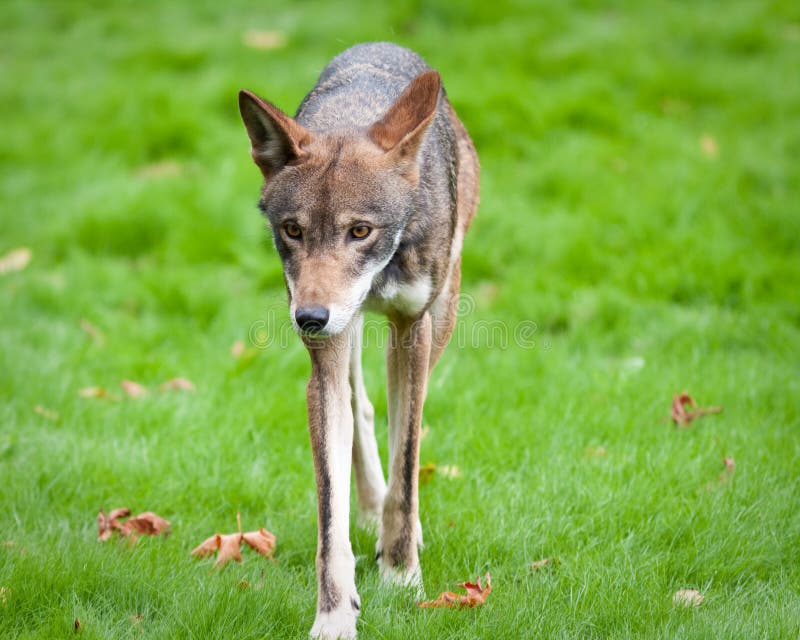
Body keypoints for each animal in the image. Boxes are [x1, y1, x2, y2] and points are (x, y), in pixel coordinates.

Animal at [239, 42, 479, 639]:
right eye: (293, 230)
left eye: (360, 231)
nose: (309, 318)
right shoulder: (324, 357)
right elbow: (330, 515)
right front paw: (334, 616)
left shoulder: (412, 334)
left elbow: (408, 461)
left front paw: (401, 575)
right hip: (346, 336)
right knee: (361, 408)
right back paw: (368, 508)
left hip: (439, 317)